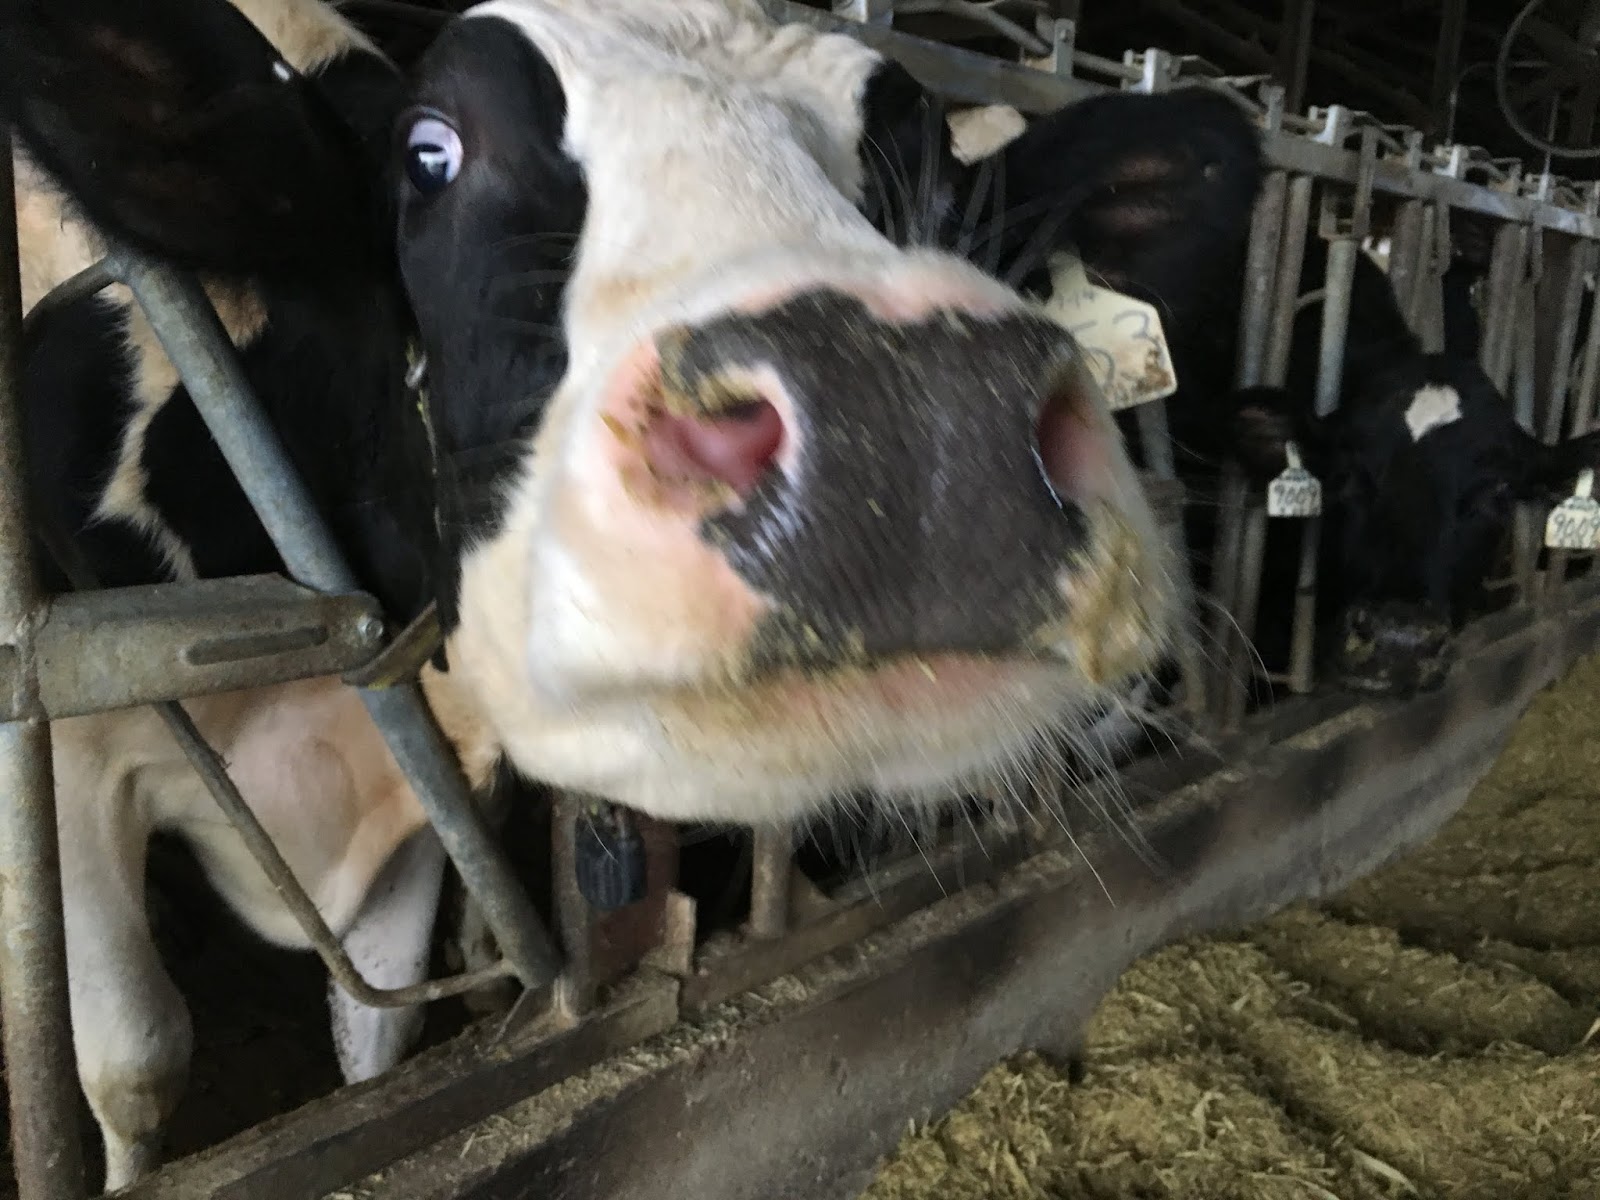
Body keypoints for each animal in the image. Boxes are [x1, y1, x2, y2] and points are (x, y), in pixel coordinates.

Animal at [2, 0, 1265, 1185]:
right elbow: (136, 1059)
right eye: (429, 152)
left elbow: (373, 1045)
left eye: (948, 195)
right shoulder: (71, 749)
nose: (915, 430)